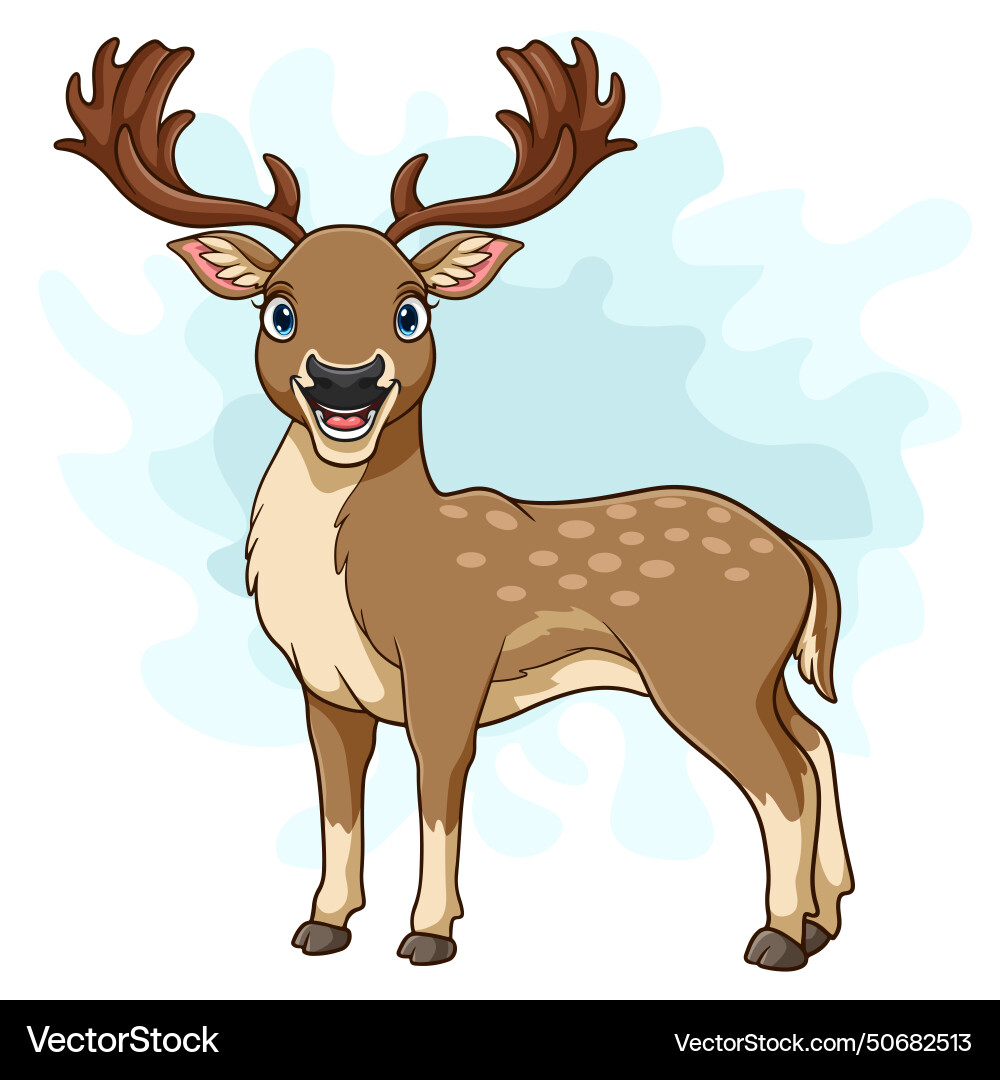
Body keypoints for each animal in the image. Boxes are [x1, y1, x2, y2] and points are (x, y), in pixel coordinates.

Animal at [56, 35, 854, 970]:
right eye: (278, 310)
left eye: (412, 310)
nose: (346, 382)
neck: (361, 573)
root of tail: (801, 555)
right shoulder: (325, 690)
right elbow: (338, 807)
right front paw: (323, 924)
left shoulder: (450, 660)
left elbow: (439, 797)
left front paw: (428, 933)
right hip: (760, 672)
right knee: (816, 742)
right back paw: (826, 918)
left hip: (705, 670)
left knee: (784, 780)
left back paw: (780, 936)